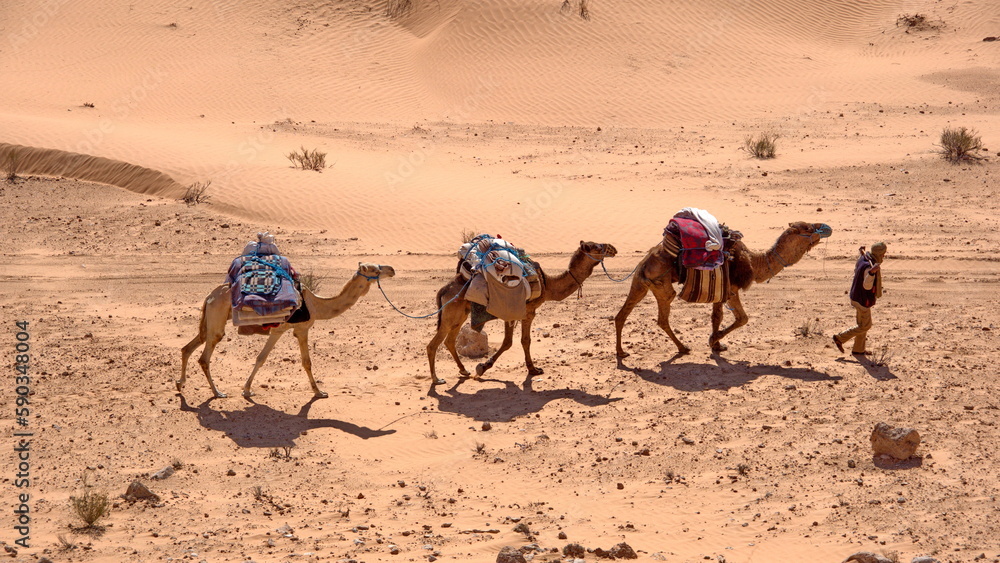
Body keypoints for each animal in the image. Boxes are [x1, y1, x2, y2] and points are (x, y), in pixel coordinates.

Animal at [178, 263, 395, 399]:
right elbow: (303, 362)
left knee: (188, 347)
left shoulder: (282, 330)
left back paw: (180, 384)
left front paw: (247, 390)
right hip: (218, 318)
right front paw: (319, 392)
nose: (392, 269)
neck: (316, 305)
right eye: (375, 269)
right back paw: (217, 393)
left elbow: (262, 358)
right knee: (205, 356)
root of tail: (210, 295)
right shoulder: (297, 328)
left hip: (212, 319)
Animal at [427, 241, 618, 389]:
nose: (613, 248)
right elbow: (517, 342)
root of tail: (443, 290)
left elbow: (513, 342)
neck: (547, 284)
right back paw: (437, 380)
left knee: (449, 341)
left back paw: (464, 370)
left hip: (460, 314)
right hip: (451, 312)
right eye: (597, 247)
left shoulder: (515, 312)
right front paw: (530, 369)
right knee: (433, 345)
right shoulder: (525, 312)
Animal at [614, 221, 831, 358]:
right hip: (662, 284)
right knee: (662, 317)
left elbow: (716, 317)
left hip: (641, 283)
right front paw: (713, 340)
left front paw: (717, 345)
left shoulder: (721, 289)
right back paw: (683, 347)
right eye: (808, 227)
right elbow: (743, 319)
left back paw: (621, 352)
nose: (826, 227)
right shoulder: (732, 289)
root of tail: (644, 263)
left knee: (622, 315)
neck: (754, 262)